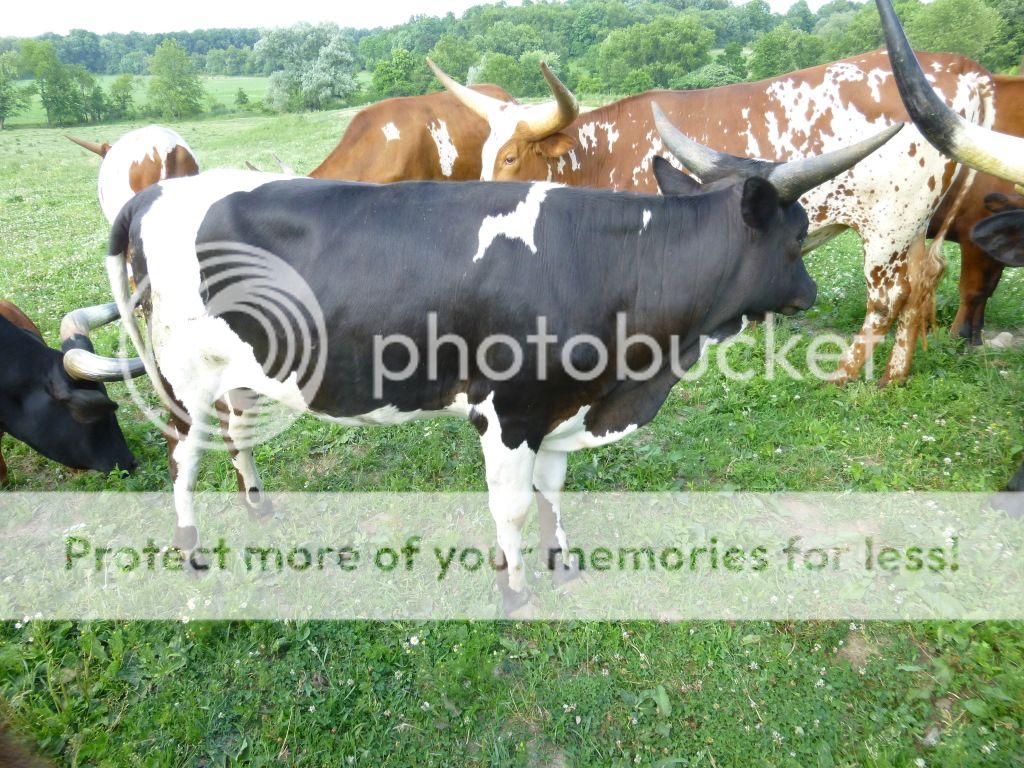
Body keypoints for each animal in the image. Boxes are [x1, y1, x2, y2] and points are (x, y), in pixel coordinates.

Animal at [431, 53, 995, 386]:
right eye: (483, 152)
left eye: (510, 157)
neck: (603, 150)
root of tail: (962, 70)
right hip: (915, 227)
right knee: (922, 283)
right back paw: (900, 370)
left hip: (889, 223)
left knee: (887, 296)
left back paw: (849, 373)